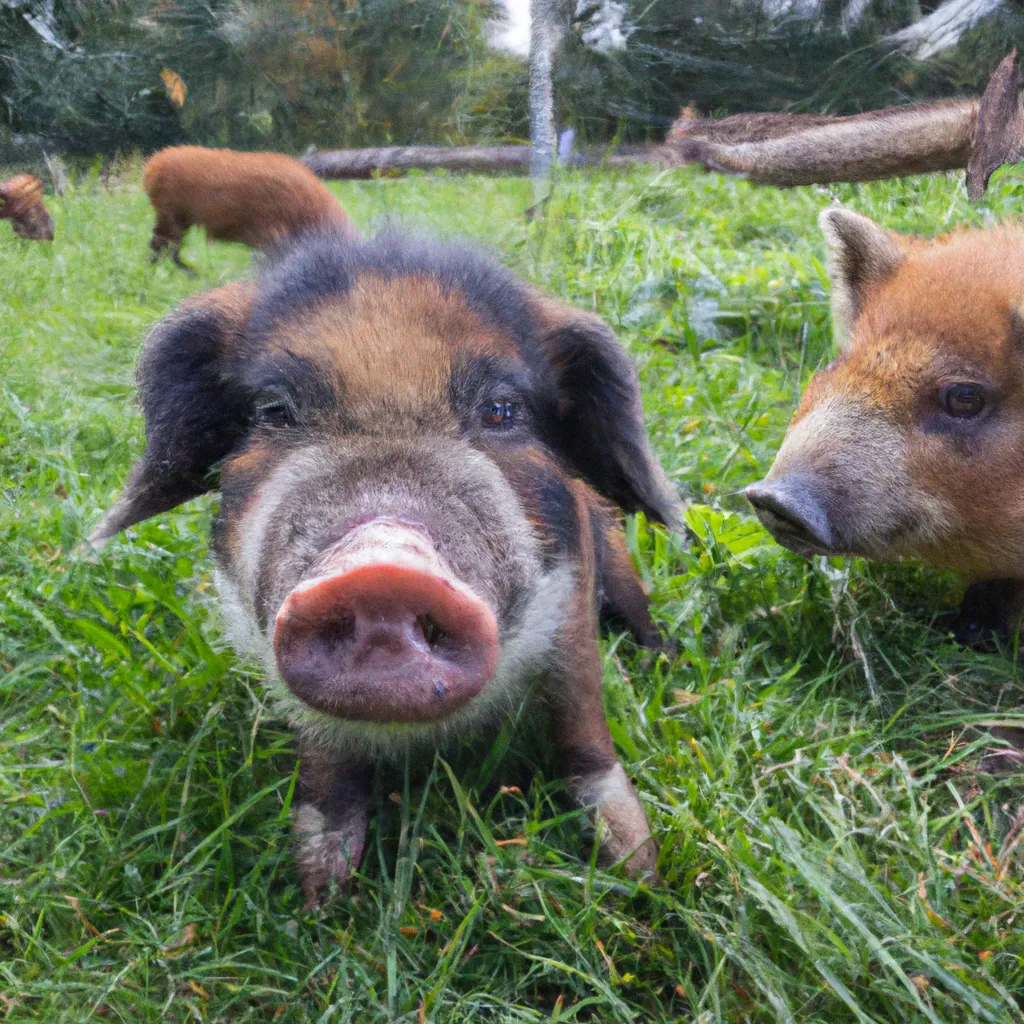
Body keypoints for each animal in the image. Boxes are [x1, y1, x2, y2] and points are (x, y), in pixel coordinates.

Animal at [90, 229, 682, 904]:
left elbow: (581, 717)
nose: (382, 571)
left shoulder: (573, 606)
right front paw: (320, 895)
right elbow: (325, 762)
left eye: (501, 410)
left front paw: (640, 872)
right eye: (273, 411)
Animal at [143, 146, 355, 269]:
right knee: (164, 249)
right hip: (171, 216)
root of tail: (151, 166)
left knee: (162, 248)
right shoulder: (270, 234)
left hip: (178, 219)